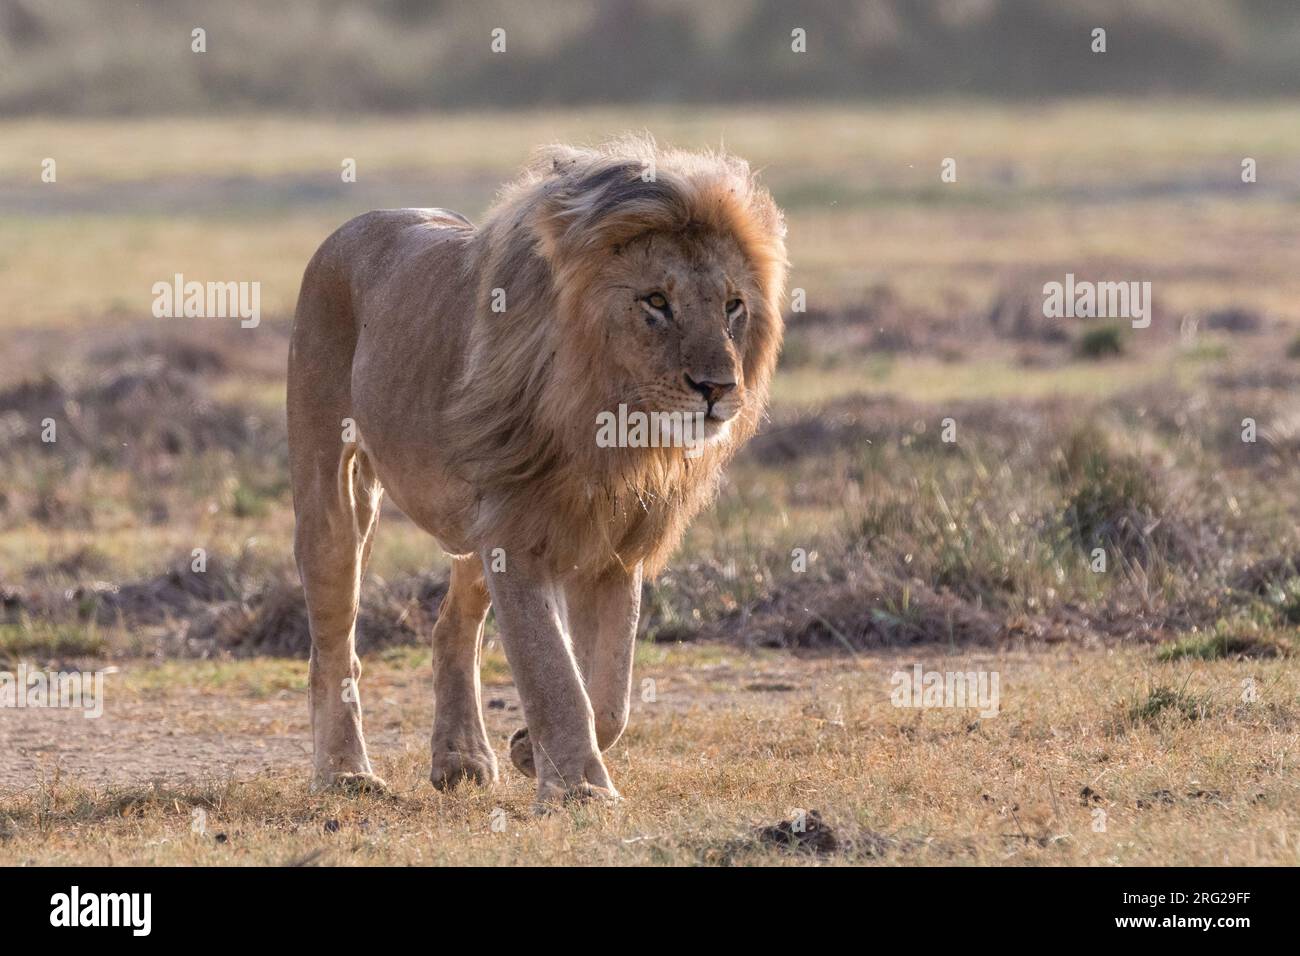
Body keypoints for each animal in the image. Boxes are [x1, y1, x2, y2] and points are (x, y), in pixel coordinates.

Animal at [287, 135, 787, 809]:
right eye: (656, 302)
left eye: (734, 306)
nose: (719, 388)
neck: (610, 428)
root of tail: (357, 223)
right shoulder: (517, 534)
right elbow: (553, 672)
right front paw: (581, 789)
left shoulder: (613, 549)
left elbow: (611, 693)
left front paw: (531, 750)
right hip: (332, 491)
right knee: (333, 643)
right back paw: (346, 773)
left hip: (470, 520)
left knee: (451, 626)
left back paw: (461, 757)